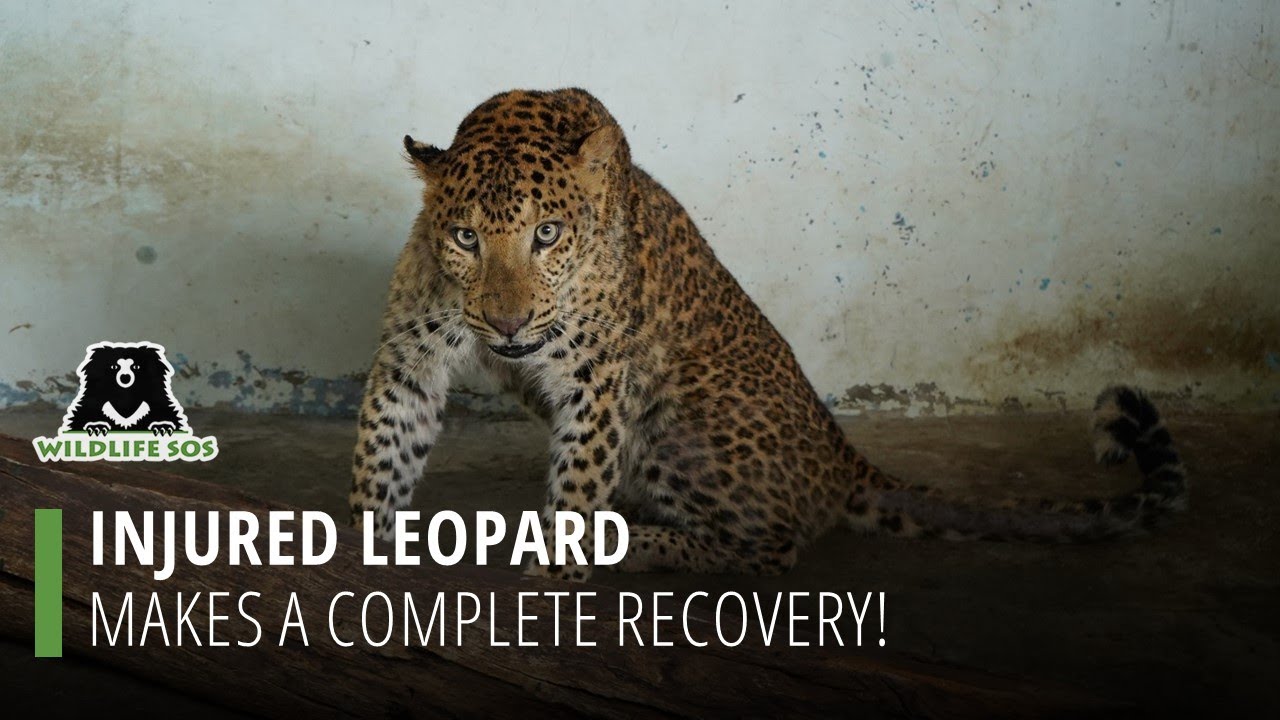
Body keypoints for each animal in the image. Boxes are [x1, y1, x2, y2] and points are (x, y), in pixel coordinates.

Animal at [348, 88, 1187, 581]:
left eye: (547, 234)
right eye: (464, 237)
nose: (507, 322)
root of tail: (842, 457)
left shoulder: (600, 384)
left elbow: (578, 489)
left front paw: (553, 581)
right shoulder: (409, 357)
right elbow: (382, 454)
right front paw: (355, 557)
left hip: (678, 423)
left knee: (773, 547)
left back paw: (637, 543)